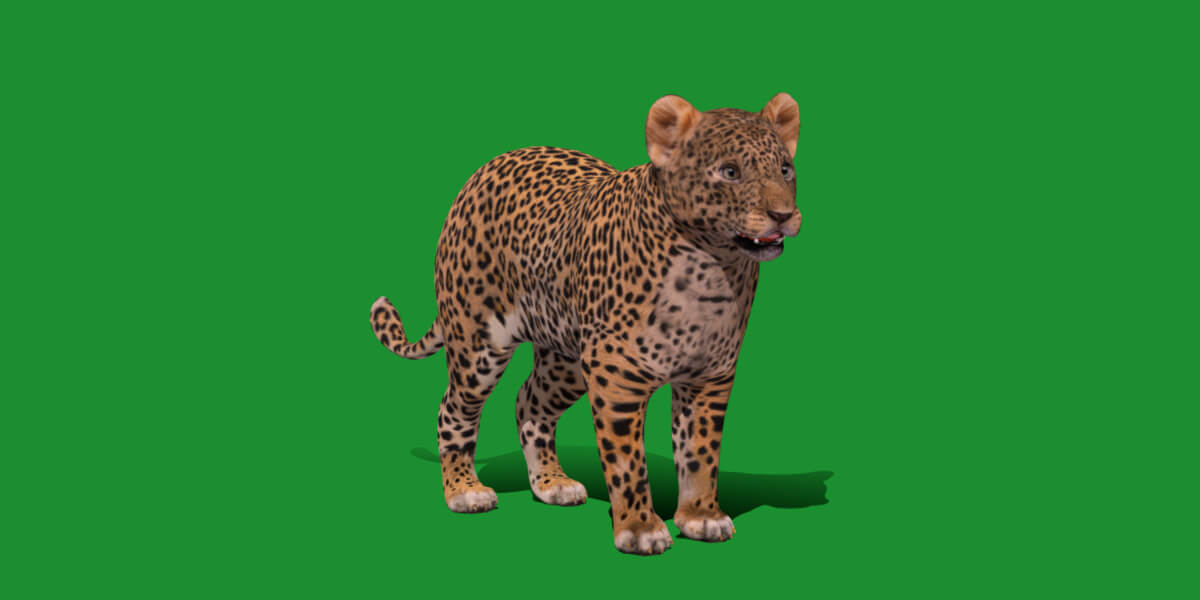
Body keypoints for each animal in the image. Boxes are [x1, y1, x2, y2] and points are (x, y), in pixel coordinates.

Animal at [370, 93, 802, 555]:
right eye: (730, 172)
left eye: (785, 169)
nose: (783, 215)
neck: (712, 268)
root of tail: (485, 168)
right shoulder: (617, 377)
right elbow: (628, 462)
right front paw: (641, 529)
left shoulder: (709, 376)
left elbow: (701, 453)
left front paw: (701, 517)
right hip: (477, 345)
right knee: (452, 410)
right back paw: (465, 491)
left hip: (567, 360)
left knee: (529, 403)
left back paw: (551, 483)